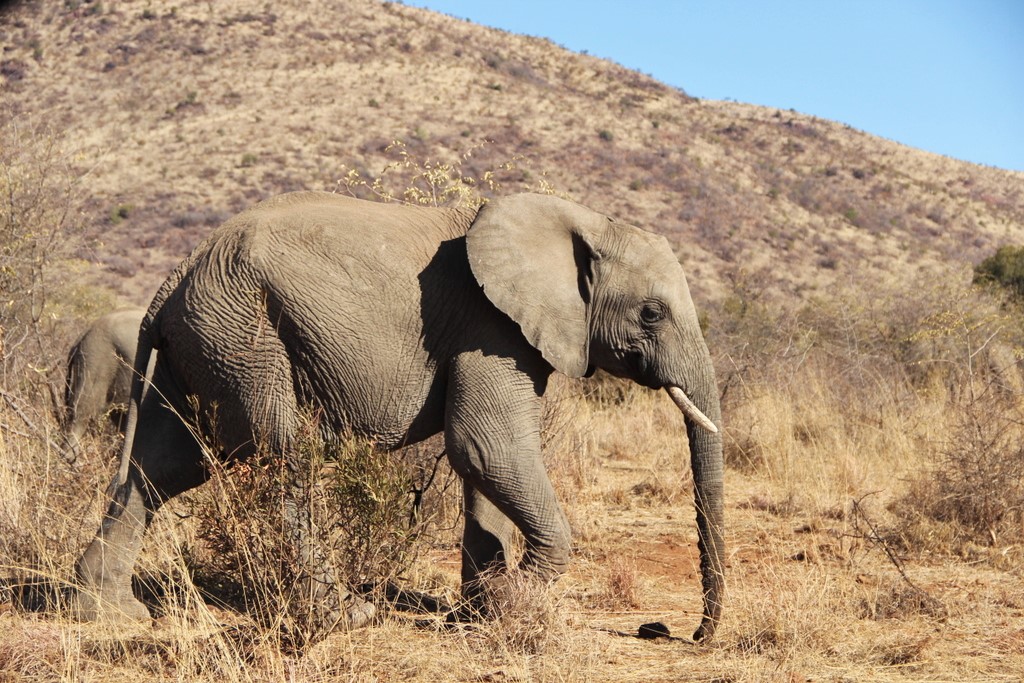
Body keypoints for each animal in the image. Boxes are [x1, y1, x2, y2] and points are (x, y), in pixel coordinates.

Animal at [74, 191, 725, 640]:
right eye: (652, 312)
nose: (686, 633)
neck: (580, 220)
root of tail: (170, 282)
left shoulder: (505, 333)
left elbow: (486, 462)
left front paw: (478, 614)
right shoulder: (490, 325)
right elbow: (487, 446)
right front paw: (510, 607)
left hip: (202, 341)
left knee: (163, 466)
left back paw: (108, 611)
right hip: (242, 333)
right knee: (282, 455)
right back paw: (344, 615)